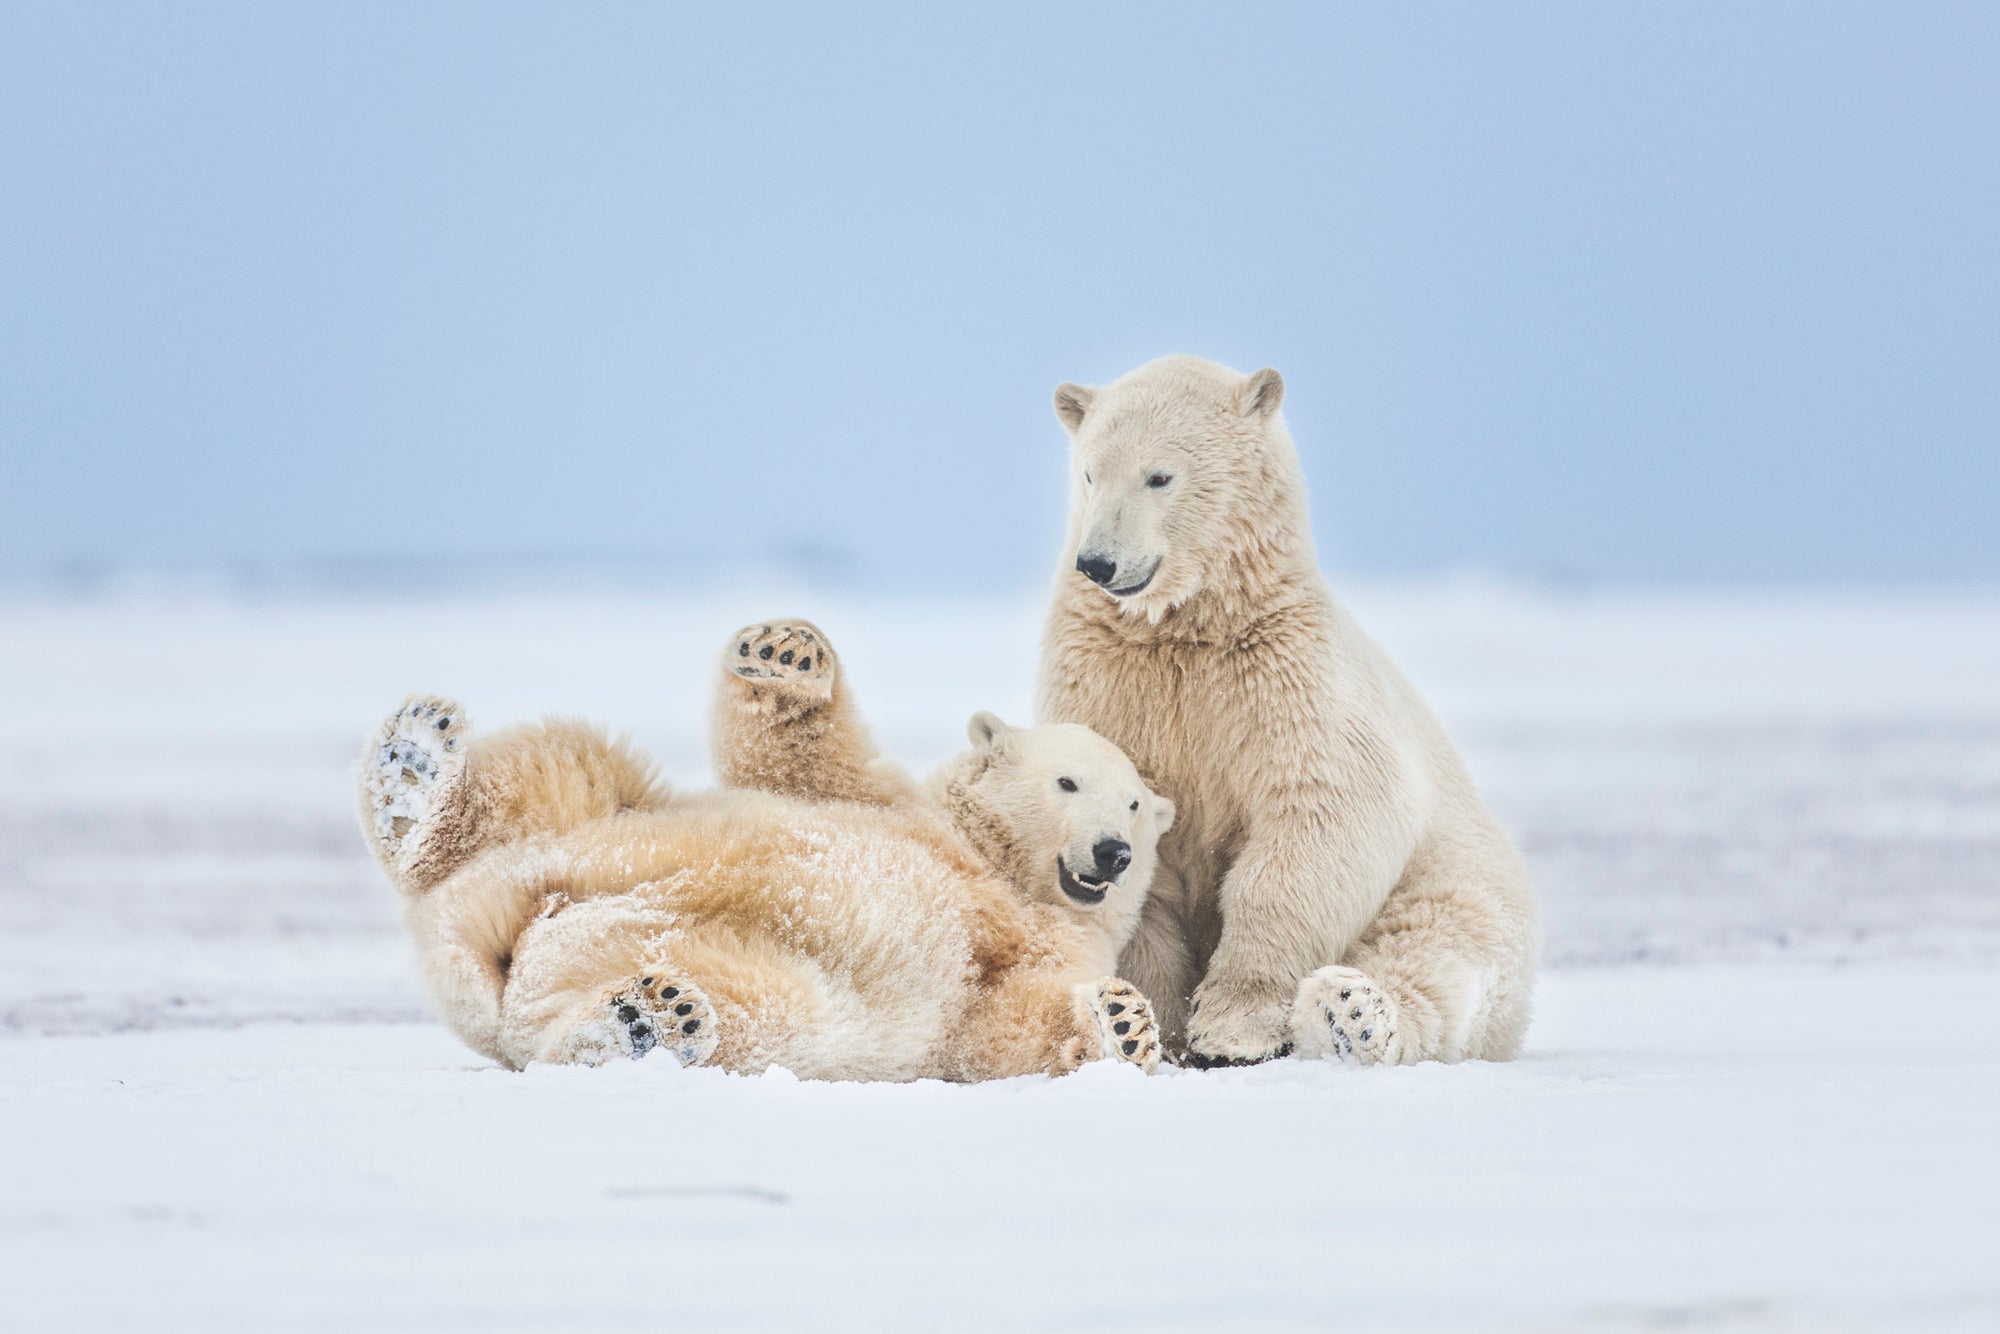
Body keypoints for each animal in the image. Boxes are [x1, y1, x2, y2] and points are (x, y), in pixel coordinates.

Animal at [355, 618, 1178, 1082]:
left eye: (1135, 804)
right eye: (1069, 781)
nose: (1113, 852)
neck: (998, 869)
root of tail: (481, 949)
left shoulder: (1040, 949)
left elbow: (1006, 1027)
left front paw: (1126, 1024)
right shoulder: (894, 806)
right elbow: (801, 756)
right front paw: (785, 648)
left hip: (742, 972)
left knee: (742, 1013)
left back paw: (651, 1019)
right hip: (581, 833)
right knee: (565, 765)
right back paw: (414, 768)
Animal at [1037, 354, 1539, 1067]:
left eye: (1159, 475)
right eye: (1089, 472)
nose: (1097, 562)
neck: (1187, 628)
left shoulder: (1287, 674)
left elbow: (1328, 806)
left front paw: (1231, 1029)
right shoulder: (1110, 680)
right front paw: (1147, 1022)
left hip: (1458, 876)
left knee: (1441, 952)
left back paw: (1353, 1014)